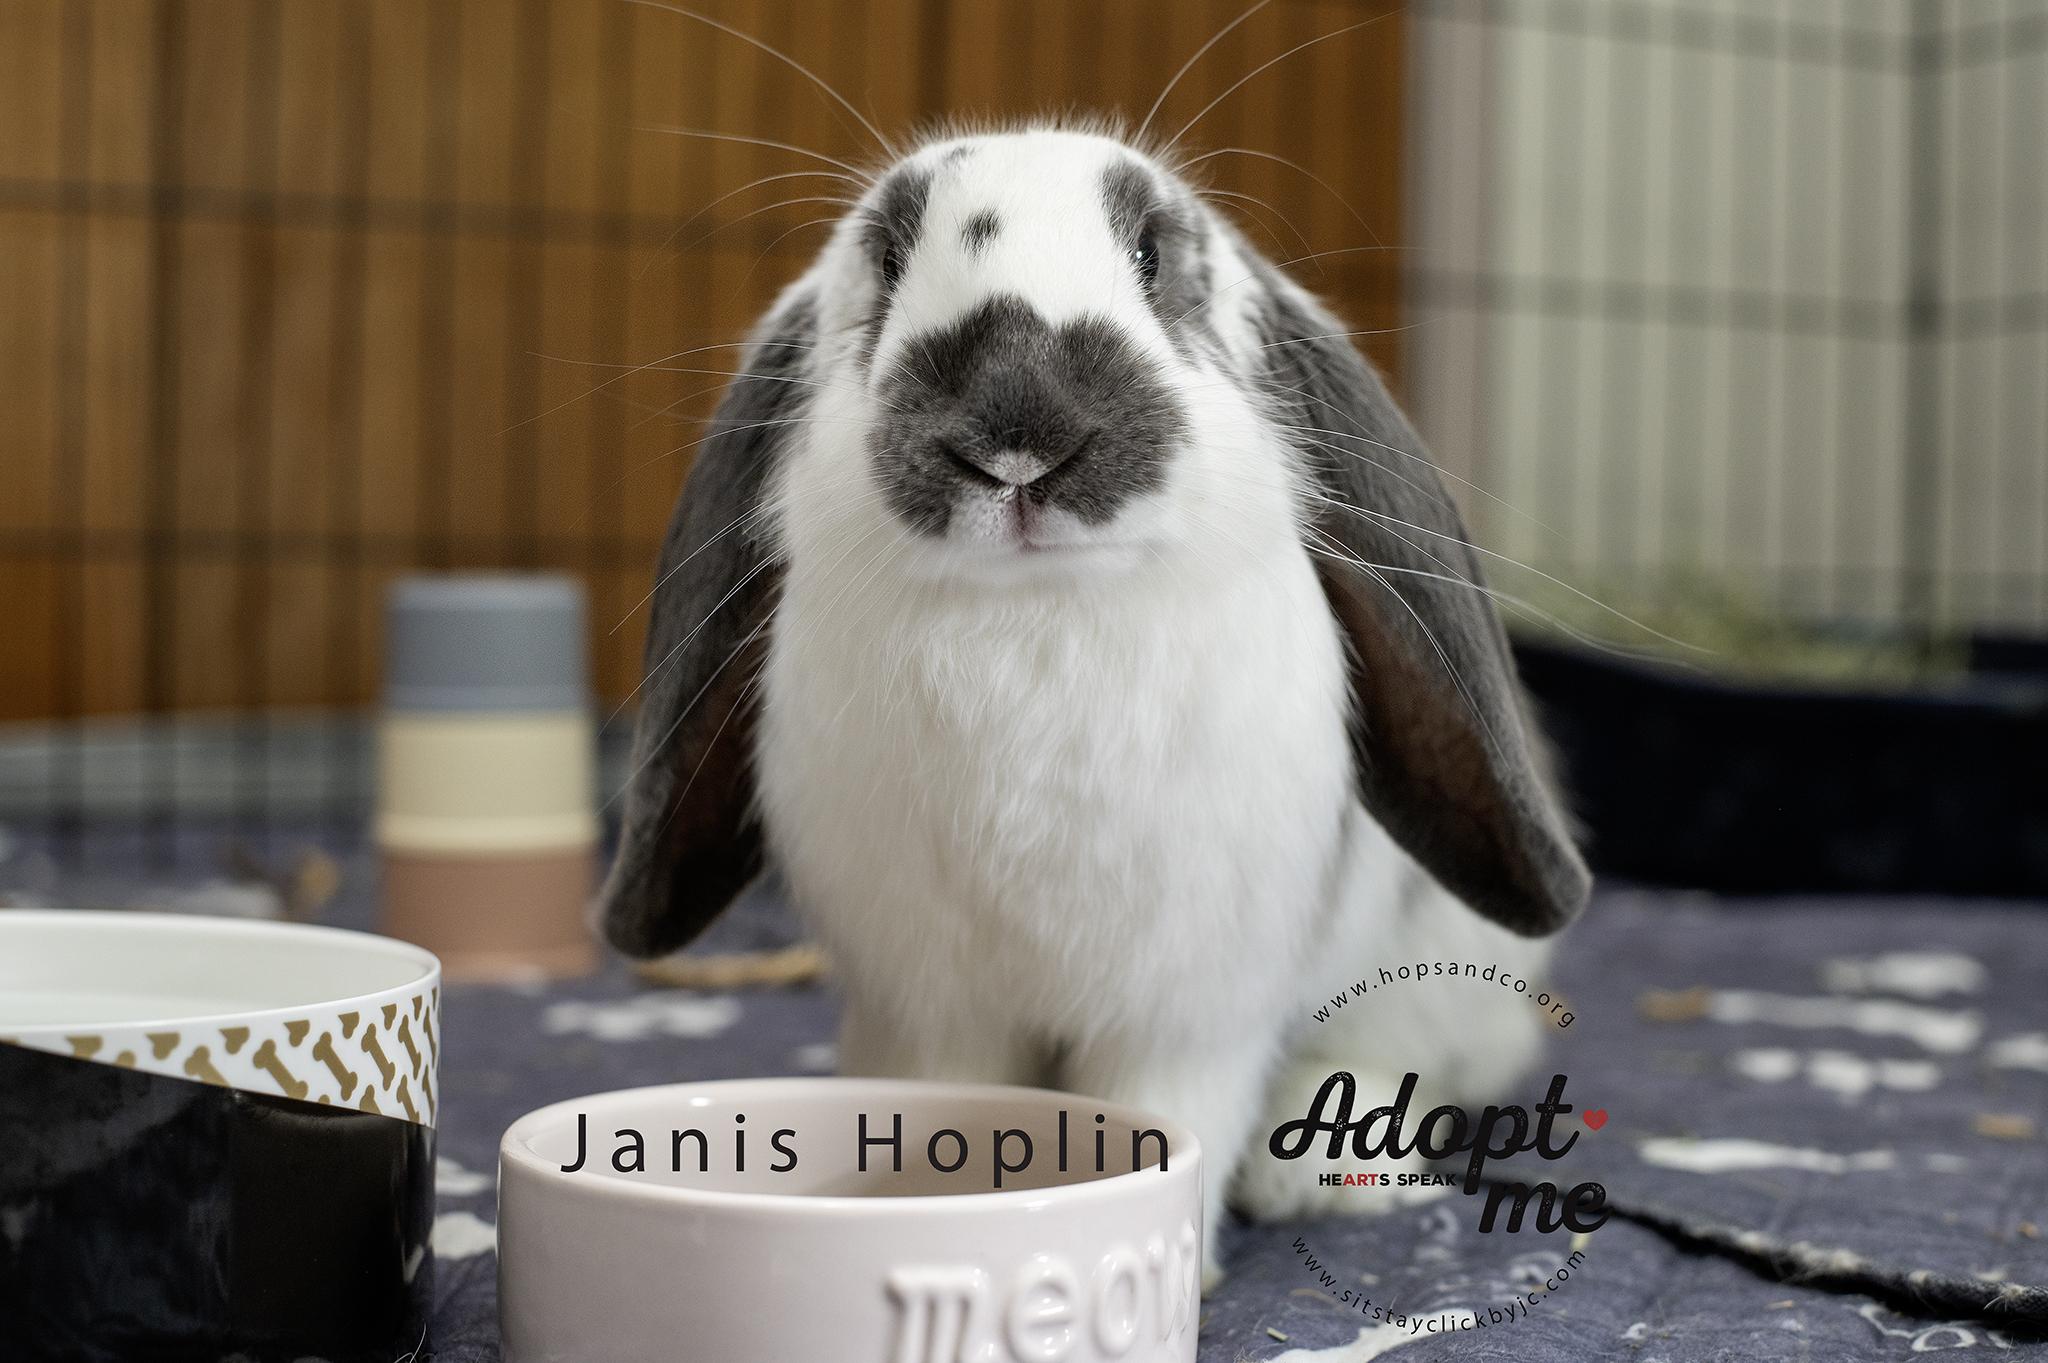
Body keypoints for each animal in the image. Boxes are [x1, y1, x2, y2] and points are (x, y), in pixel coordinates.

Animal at [599, 123, 1589, 1284]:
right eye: (887, 258)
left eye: (1153, 255)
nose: (1017, 430)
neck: (1032, 610)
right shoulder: (933, 1004)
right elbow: (947, 1106)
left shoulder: (1185, 1009)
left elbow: (1174, 1108)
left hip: (1434, 978)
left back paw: (1320, 1171)